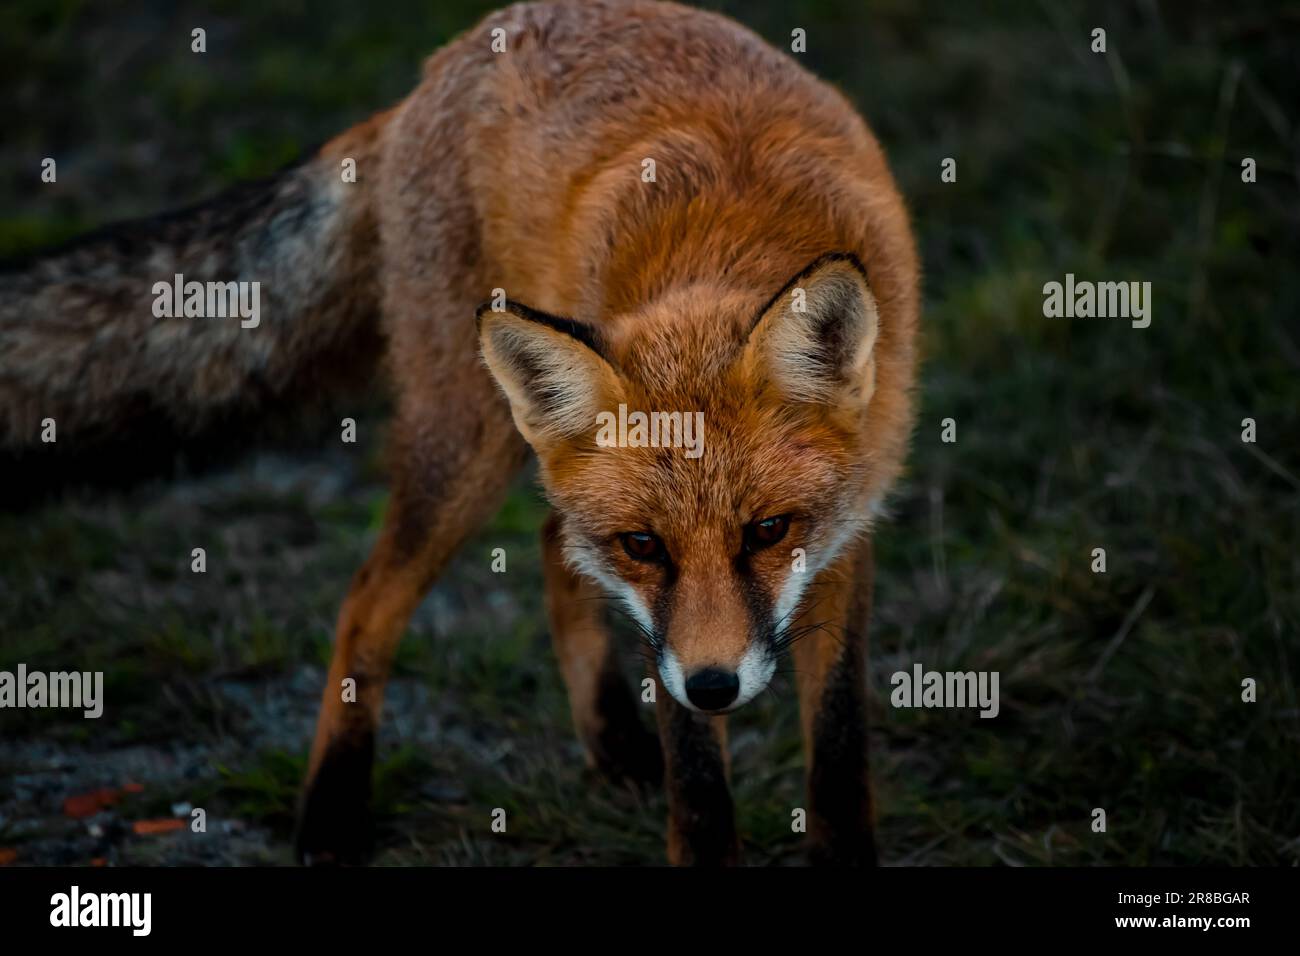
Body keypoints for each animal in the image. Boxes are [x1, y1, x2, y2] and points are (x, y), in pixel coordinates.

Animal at [0, 0, 919, 865]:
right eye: (644, 546)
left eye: (767, 531)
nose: (716, 686)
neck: (726, 237)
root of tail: (444, 62)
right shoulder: (673, 638)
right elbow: (698, 793)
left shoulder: (845, 533)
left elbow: (840, 753)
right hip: (463, 448)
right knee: (369, 600)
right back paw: (332, 811)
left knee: (550, 541)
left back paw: (614, 747)